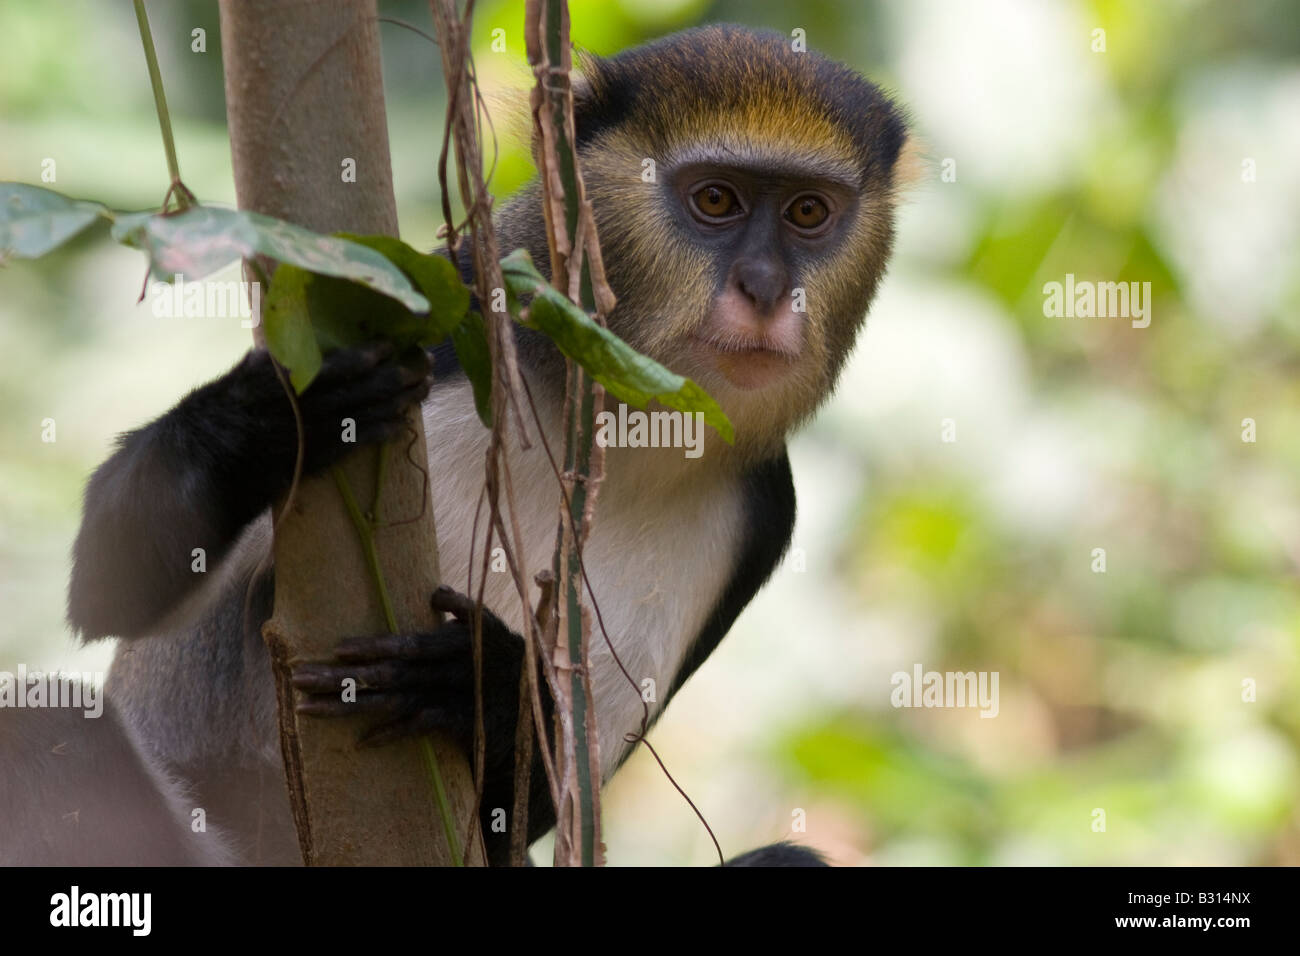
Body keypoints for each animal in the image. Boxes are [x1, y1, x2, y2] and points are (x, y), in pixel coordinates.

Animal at [0, 24, 910, 866]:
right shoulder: (450, 305)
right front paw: (271, 418)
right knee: (40, 725)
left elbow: (546, 804)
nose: (766, 289)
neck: (610, 409)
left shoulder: (765, 511)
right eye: (716, 201)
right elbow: (109, 585)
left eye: (808, 213)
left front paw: (487, 684)